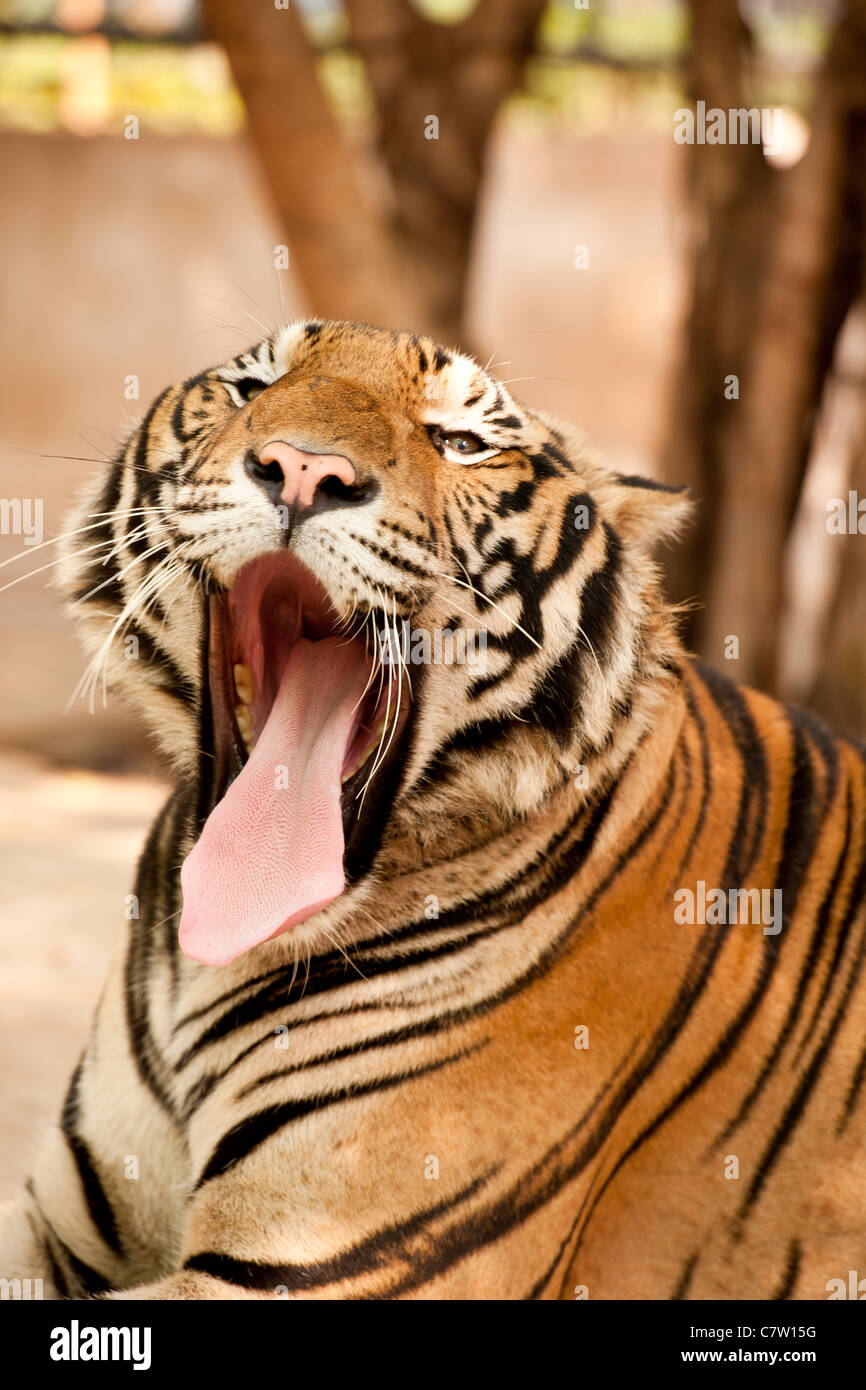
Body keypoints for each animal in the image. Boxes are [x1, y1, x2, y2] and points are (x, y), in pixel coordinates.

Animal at [1, 318, 865, 1302]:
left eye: (460, 441)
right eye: (251, 385)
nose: (303, 470)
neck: (210, 963)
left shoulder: (315, 1257)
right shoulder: (64, 1219)